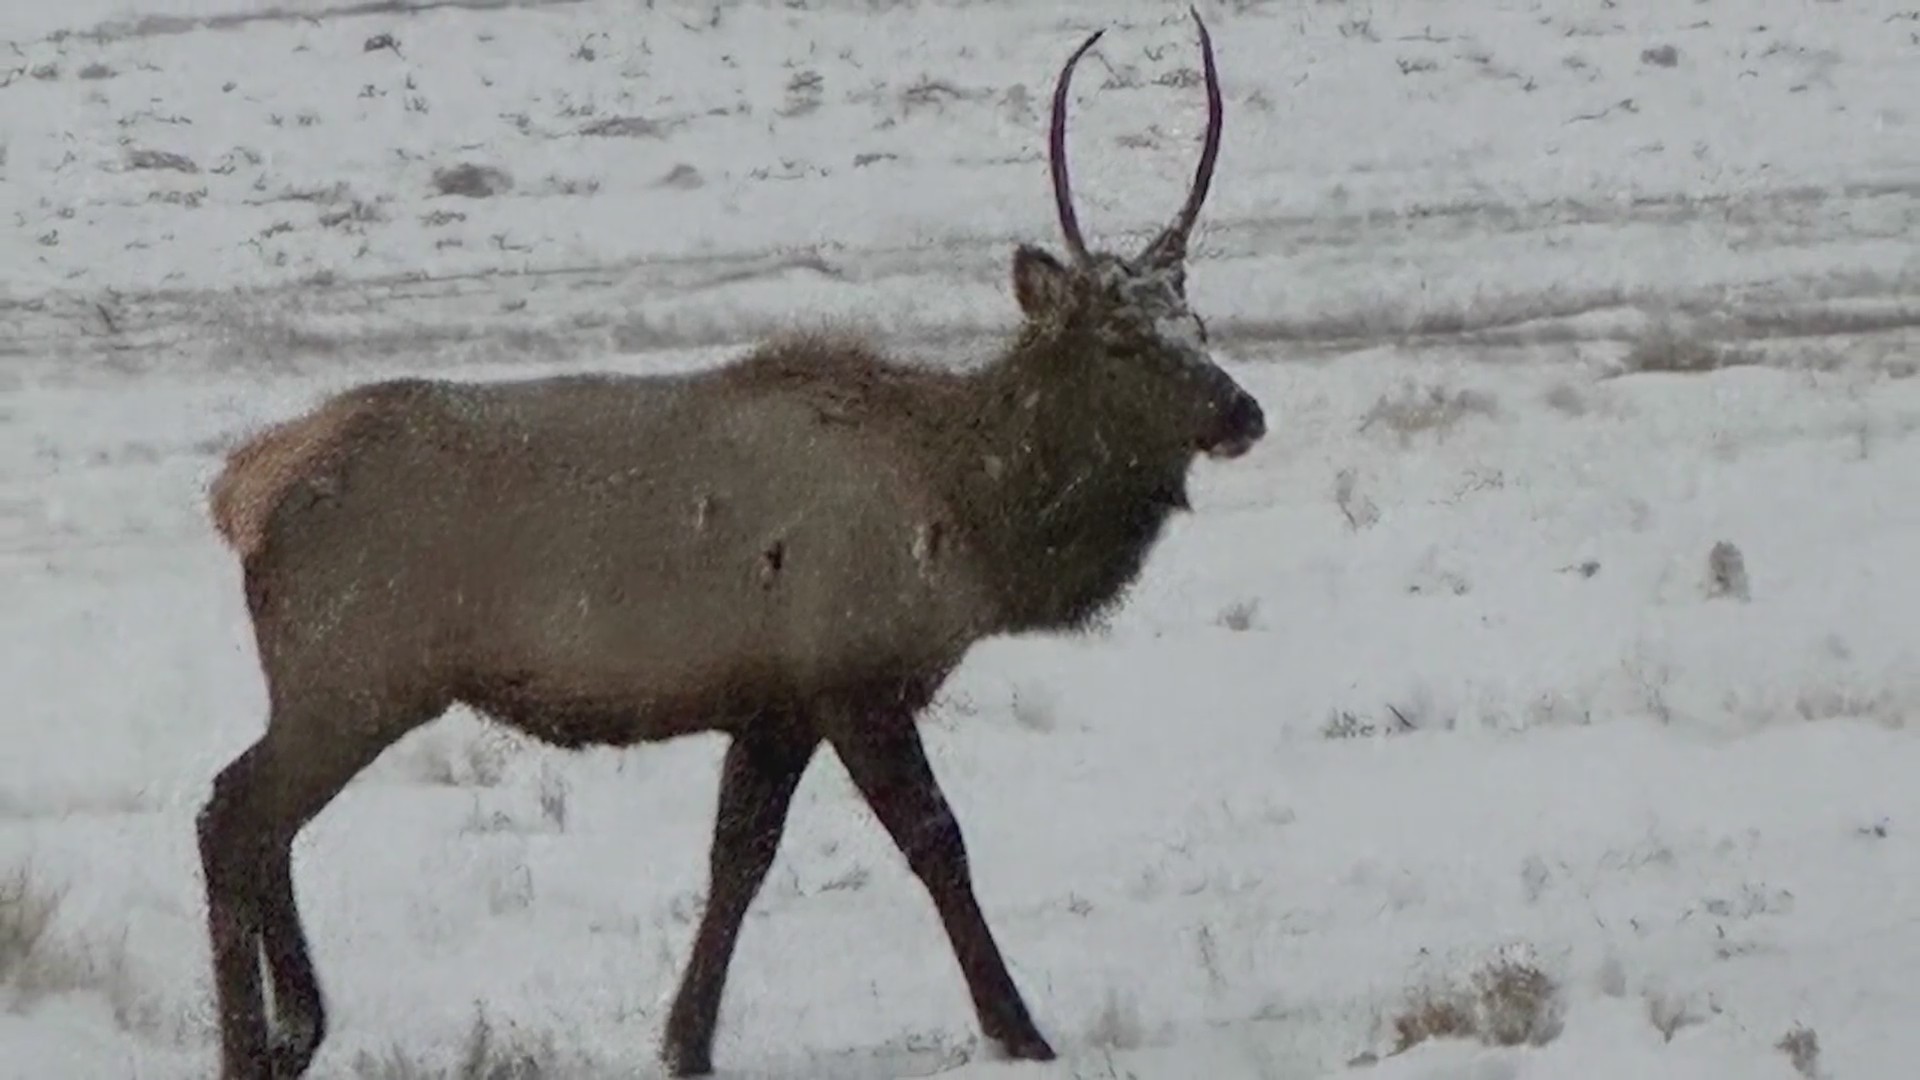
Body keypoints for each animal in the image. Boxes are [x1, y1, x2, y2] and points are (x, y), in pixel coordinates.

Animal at [194, 9, 1262, 1078]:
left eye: (1198, 322)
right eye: (1119, 340)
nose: (1242, 411)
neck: (968, 527)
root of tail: (242, 486)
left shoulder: (773, 700)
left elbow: (738, 860)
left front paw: (685, 1039)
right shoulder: (851, 672)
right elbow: (936, 840)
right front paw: (1019, 1029)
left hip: (343, 682)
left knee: (254, 821)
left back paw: (290, 1033)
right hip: (354, 674)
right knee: (232, 814)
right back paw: (266, 1039)